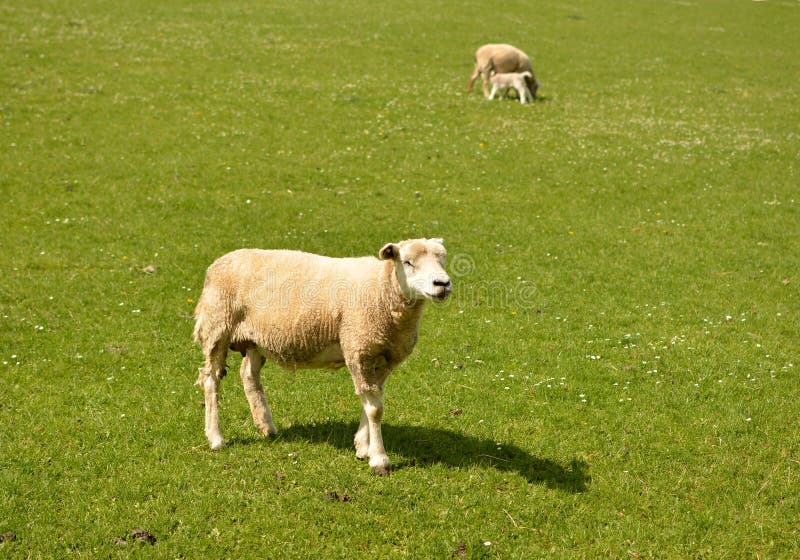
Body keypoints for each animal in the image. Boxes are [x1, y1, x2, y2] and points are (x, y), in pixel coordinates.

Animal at [193, 238, 452, 475]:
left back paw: (266, 426)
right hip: (217, 326)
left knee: (248, 374)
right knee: (210, 379)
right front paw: (379, 460)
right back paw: (216, 437)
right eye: (407, 262)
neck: (383, 287)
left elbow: (370, 403)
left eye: (442, 258)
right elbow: (375, 410)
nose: (443, 283)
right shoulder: (359, 349)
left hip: (256, 339)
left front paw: (362, 447)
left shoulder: (379, 358)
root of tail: (219, 262)